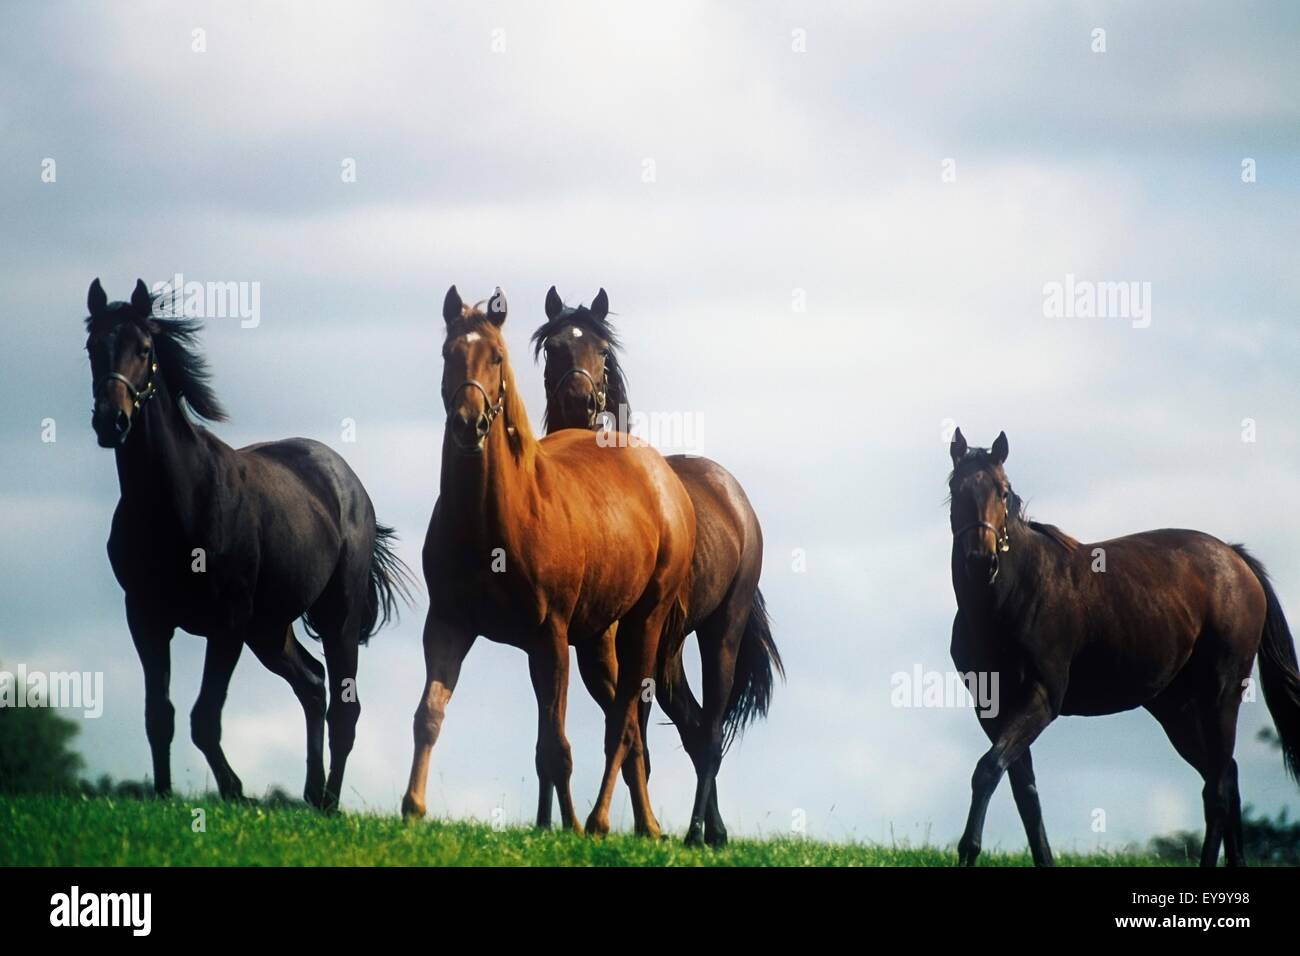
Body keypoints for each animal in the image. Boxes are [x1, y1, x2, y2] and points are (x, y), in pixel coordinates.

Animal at [84, 278, 413, 809]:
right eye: (94, 347)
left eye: (145, 348)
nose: (111, 421)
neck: (179, 501)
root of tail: (350, 486)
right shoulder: (146, 618)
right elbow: (160, 716)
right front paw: (163, 795)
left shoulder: (228, 623)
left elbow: (203, 718)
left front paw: (235, 793)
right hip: (270, 630)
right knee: (312, 684)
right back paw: (311, 793)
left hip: (334, 620)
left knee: (344, 708)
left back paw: (329, 803)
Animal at [400, 287, 696, 838]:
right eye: (449, 354)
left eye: (497, 356)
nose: (469, 424)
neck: (495, 521)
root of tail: (665, 479)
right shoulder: (448, 624)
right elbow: (429, 714)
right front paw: (413, 807)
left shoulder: (550, 637)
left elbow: (556, 747)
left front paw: (572, 828)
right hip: (597, 642)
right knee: (626, 727)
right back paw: (644, 825)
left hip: (643, 622)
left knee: (623, 723)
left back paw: (604, 822)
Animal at [530, 286, 783, 846]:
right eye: (553, 348)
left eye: (602, 351)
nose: (578, 400)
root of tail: (735, 499)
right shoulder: (583, 649)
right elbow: (608, 731)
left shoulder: (613, 649)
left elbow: (626, 731)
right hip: (667, 654)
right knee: (692, 726)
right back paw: (713, 832)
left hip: (720, 633)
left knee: (710, 730)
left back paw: (694, 832)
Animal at [946, 428, 1300, 866]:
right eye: (955, 488)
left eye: (1004, 489)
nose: (981, 561)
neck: (1012, 596)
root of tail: (1236, 559)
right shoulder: (991, 707)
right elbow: (1024, 792)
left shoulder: (1042, 698)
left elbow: (988, 769)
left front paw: (968, 849)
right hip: (1175, 709)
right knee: (1226, 779)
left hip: (1221, 694)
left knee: (1217, 789)